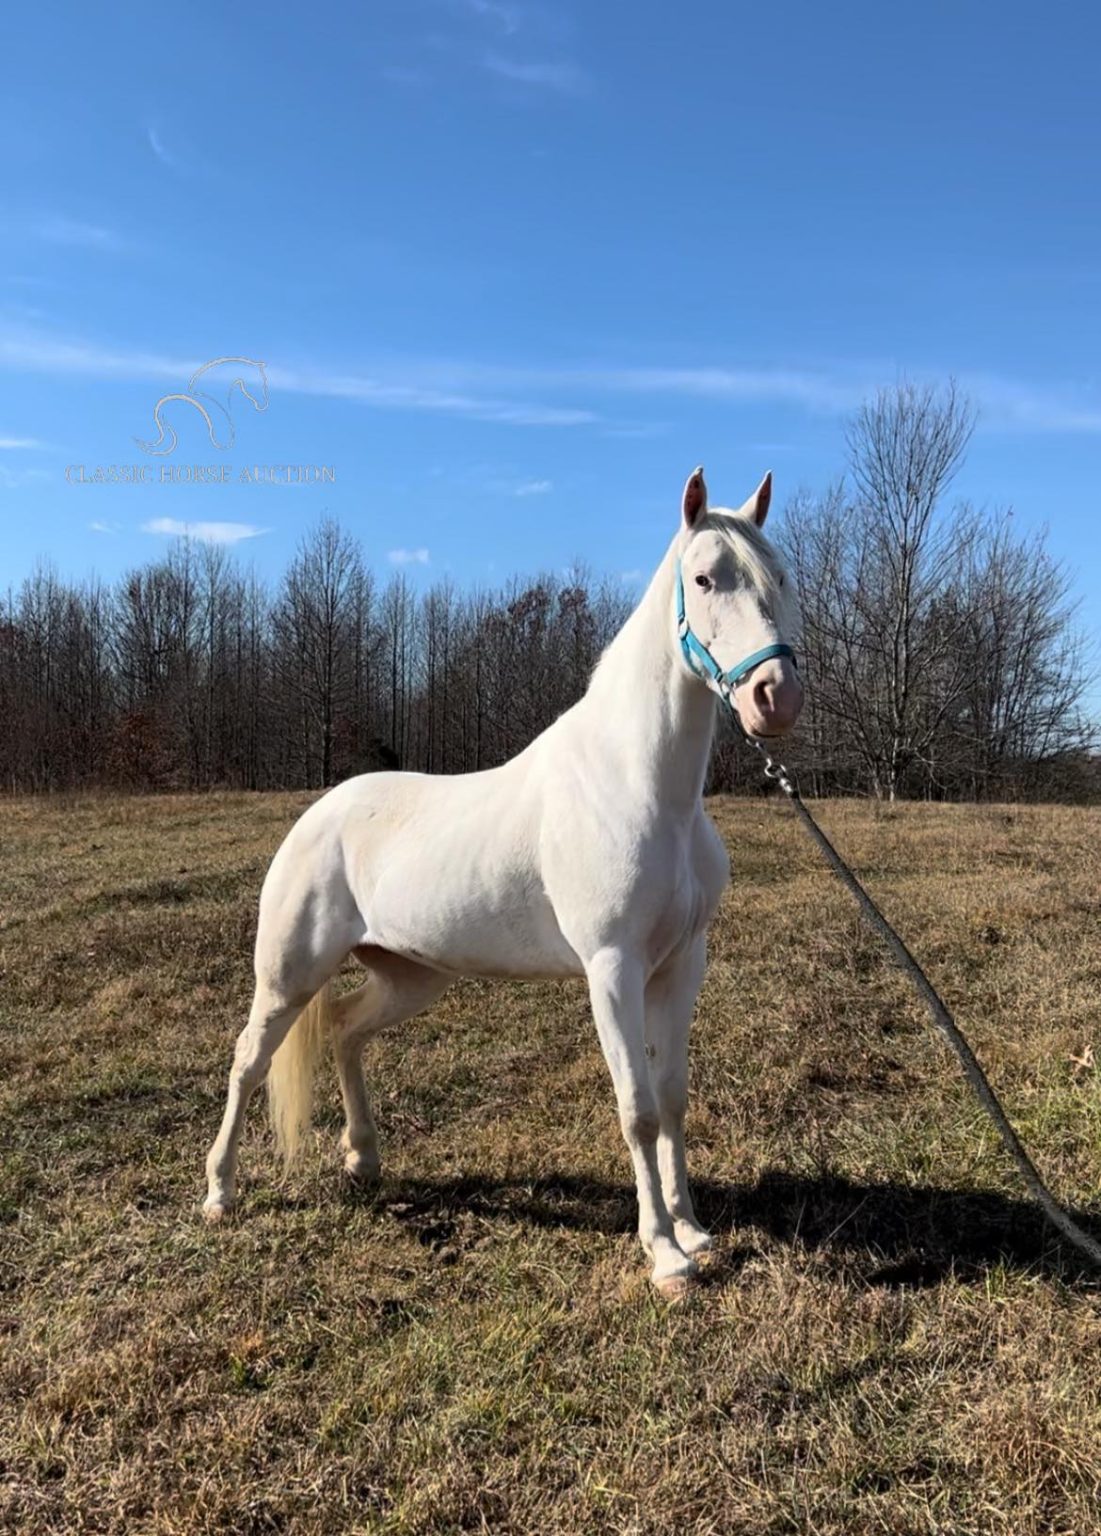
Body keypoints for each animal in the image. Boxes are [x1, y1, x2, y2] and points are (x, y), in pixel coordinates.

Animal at [204, 467, 804, 1296]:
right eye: (704, 578)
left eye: (777, 576)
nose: (772, 698)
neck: (640, 786)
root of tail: (319, 813)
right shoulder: (611, 969)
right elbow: (637, 1108)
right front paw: (663, 1255)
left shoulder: (680, 965)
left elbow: (674, 1097)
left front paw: (692, 1229)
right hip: (288, 975)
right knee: (247, 1060)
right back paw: (220, 1193)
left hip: (411, 976)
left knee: (347, 1033)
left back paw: (363, 1158)